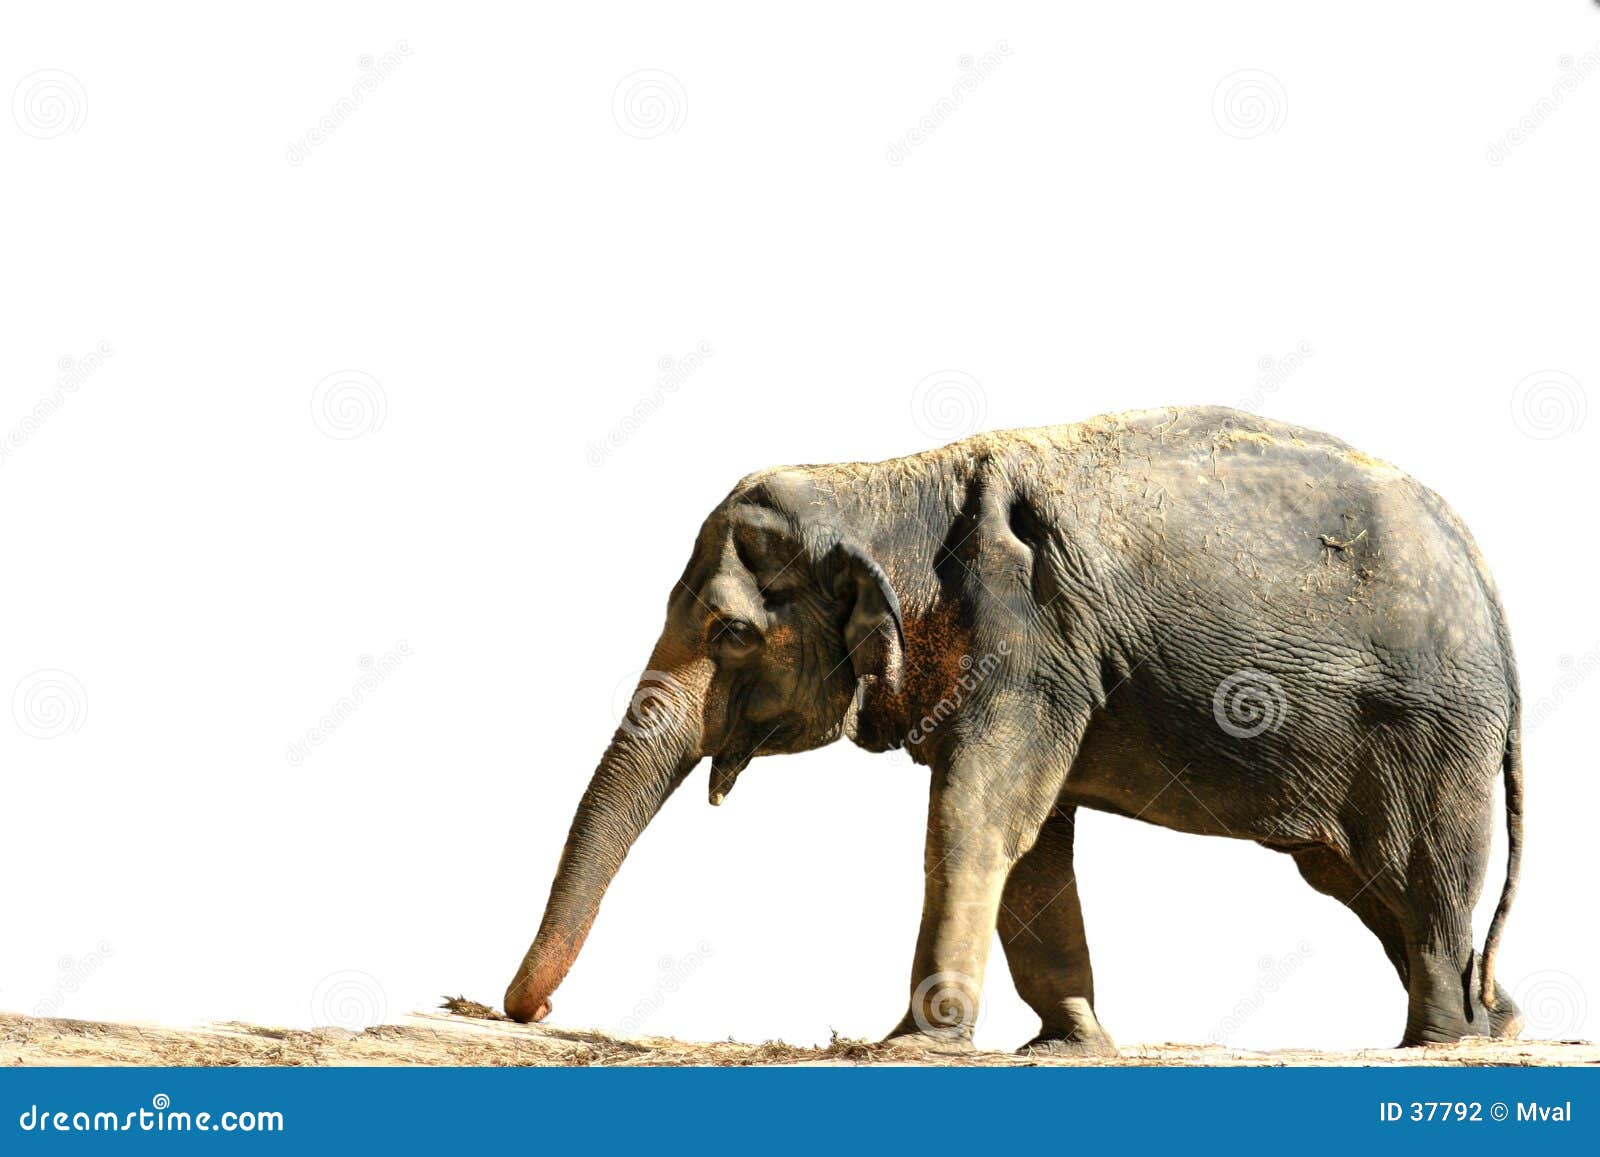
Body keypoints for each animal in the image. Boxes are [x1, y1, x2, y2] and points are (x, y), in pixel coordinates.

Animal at [504, 405, 1525, 1052]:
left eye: (730, 632)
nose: (529, 1012)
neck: (887, 479)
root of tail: (1487, 577)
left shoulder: (1031, 637)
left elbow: (976, 816)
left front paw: (914, 1044)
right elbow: (1034, 843)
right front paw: (1069, 1042)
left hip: (1432, 726)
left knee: (1421, 874)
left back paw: (1437, 1039)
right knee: (1360, 881)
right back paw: (1496, 1022)